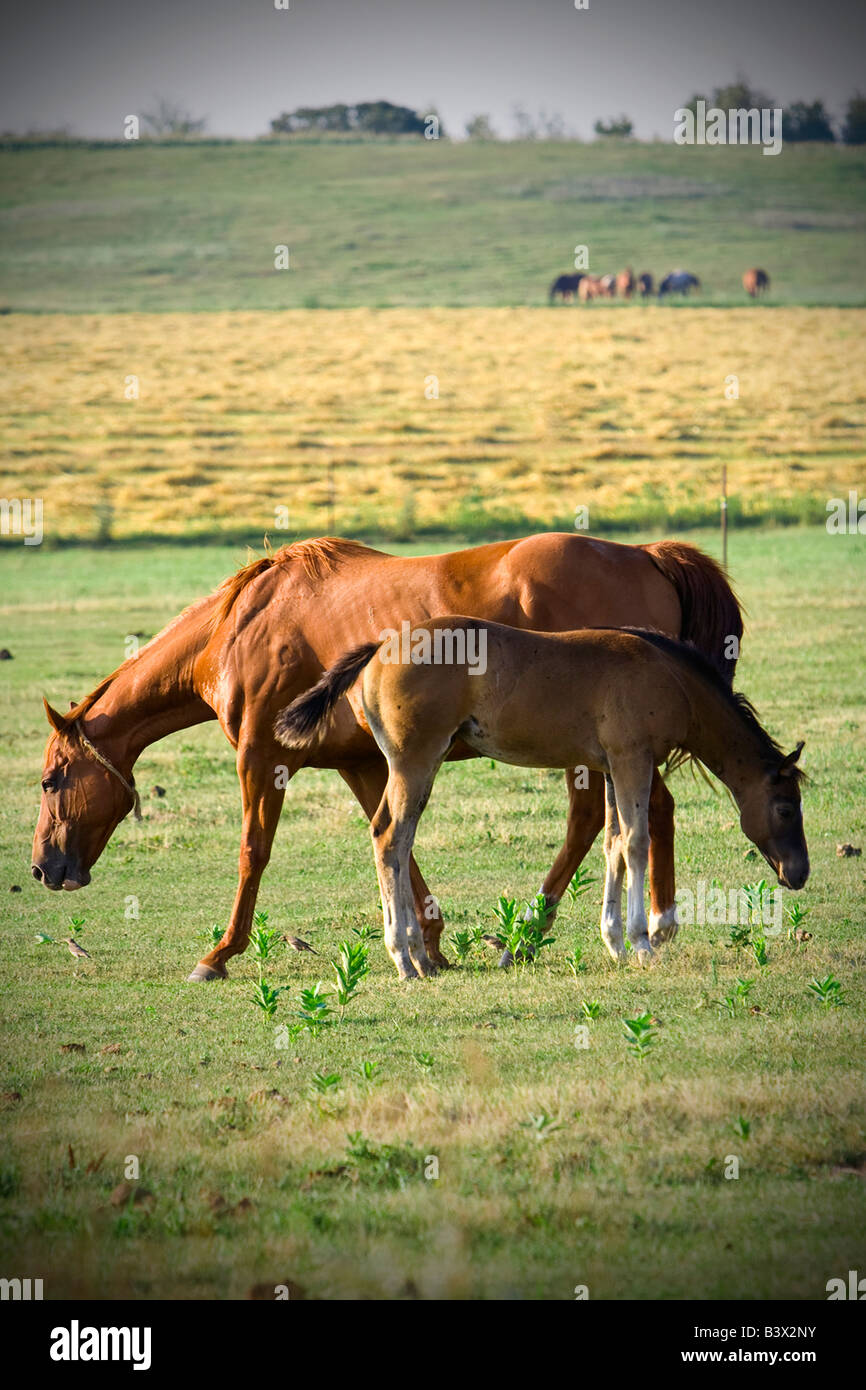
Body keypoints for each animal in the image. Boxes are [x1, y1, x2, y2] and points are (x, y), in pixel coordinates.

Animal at [32, 533, 742, 982]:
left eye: (50, 781)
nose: (43, 867)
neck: (240, 630)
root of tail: (647, 555)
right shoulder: (366, 763)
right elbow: (396, 842)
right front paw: (428, 945)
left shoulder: (262, 761)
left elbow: (254, 853)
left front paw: (219, 954)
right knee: (634, 816)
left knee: (614, 820)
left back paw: (586, 931)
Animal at [275, 620, 807, 980]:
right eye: (785, 808)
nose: (798, 874)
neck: (669, 676)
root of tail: (379, 648)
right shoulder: (632, 758)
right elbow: (637, 843)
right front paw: (641, 943)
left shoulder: (609, 767)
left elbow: (614, 845)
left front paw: (614, 943)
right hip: (415, 761)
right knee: (390, 836)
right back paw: (404, 958)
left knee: (399, 839)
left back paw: (419, 957)